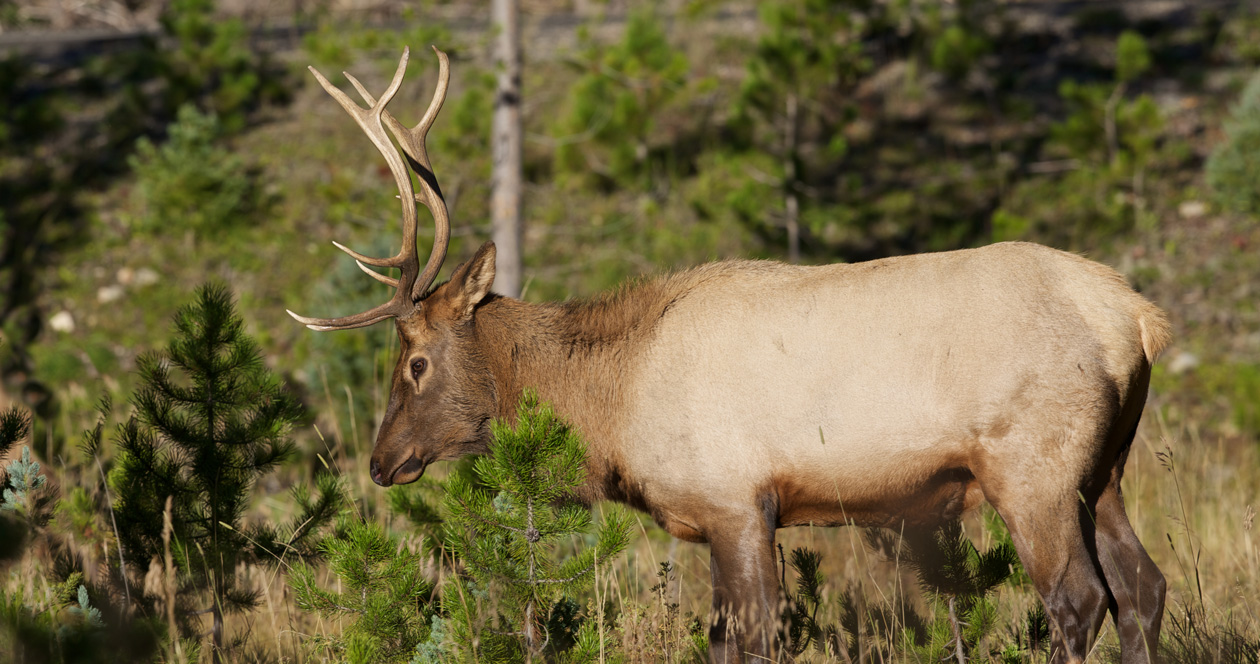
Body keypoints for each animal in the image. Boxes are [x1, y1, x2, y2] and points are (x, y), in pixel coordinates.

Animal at [290, 47, 1169, 664]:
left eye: (414, 363)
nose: (381, 461)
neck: (609, 405)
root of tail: (1133, 317)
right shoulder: (731, 514)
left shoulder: (735, 499)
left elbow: (754, 637)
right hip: (1104, 469)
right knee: (1144, 588)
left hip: (1033, 467)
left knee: (1077, 601)